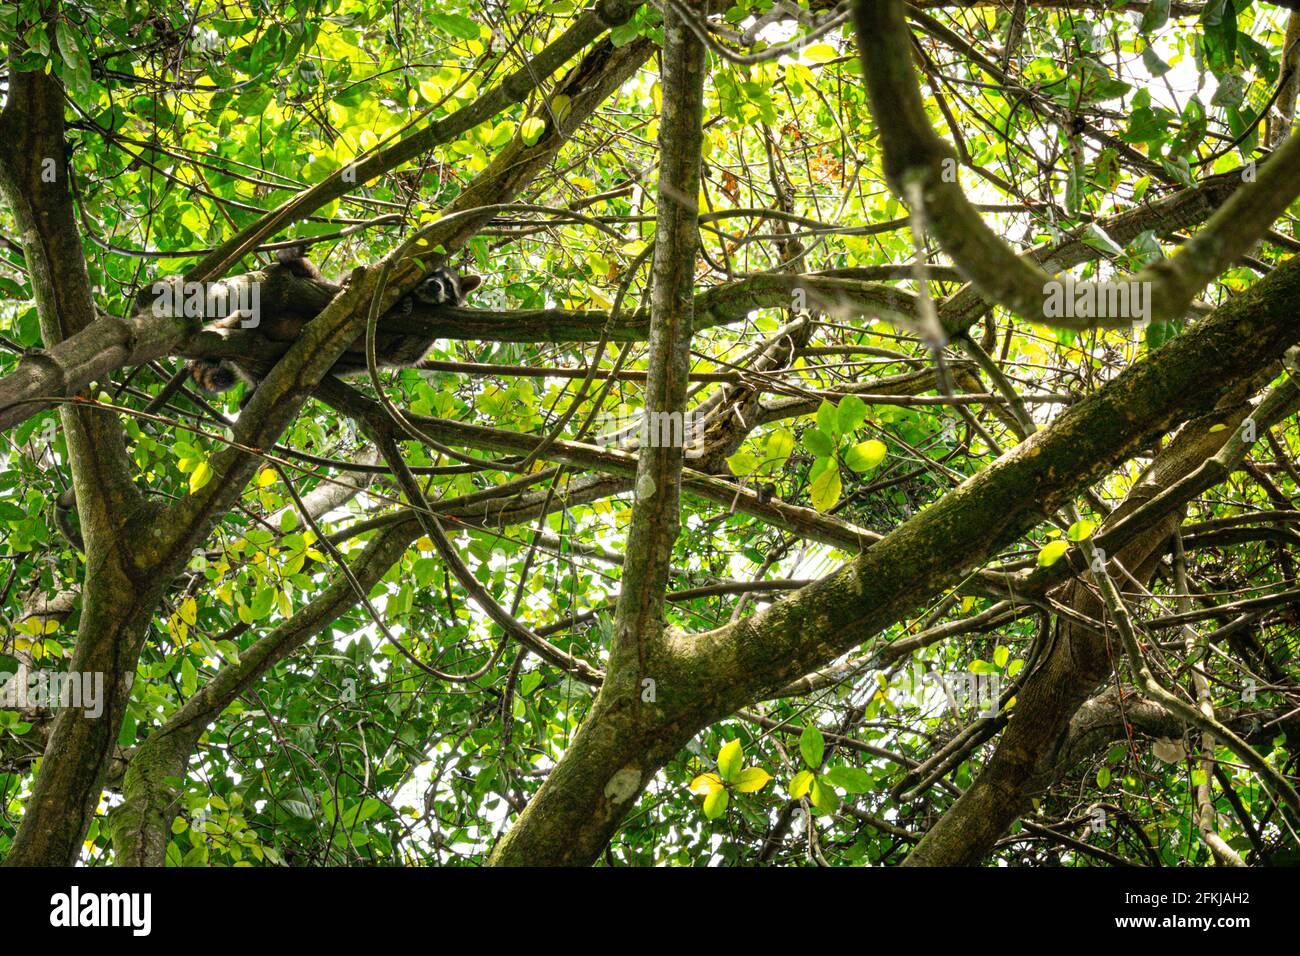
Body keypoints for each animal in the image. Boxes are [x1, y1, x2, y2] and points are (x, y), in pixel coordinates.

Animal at [186, 245, 481, 394]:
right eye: (430, 274)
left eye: (448, 284)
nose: (435, 286)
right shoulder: (361, 287)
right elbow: (347, 285)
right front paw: (403, 300)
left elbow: (402, 354)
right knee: (305, 279)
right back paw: (293, 262)